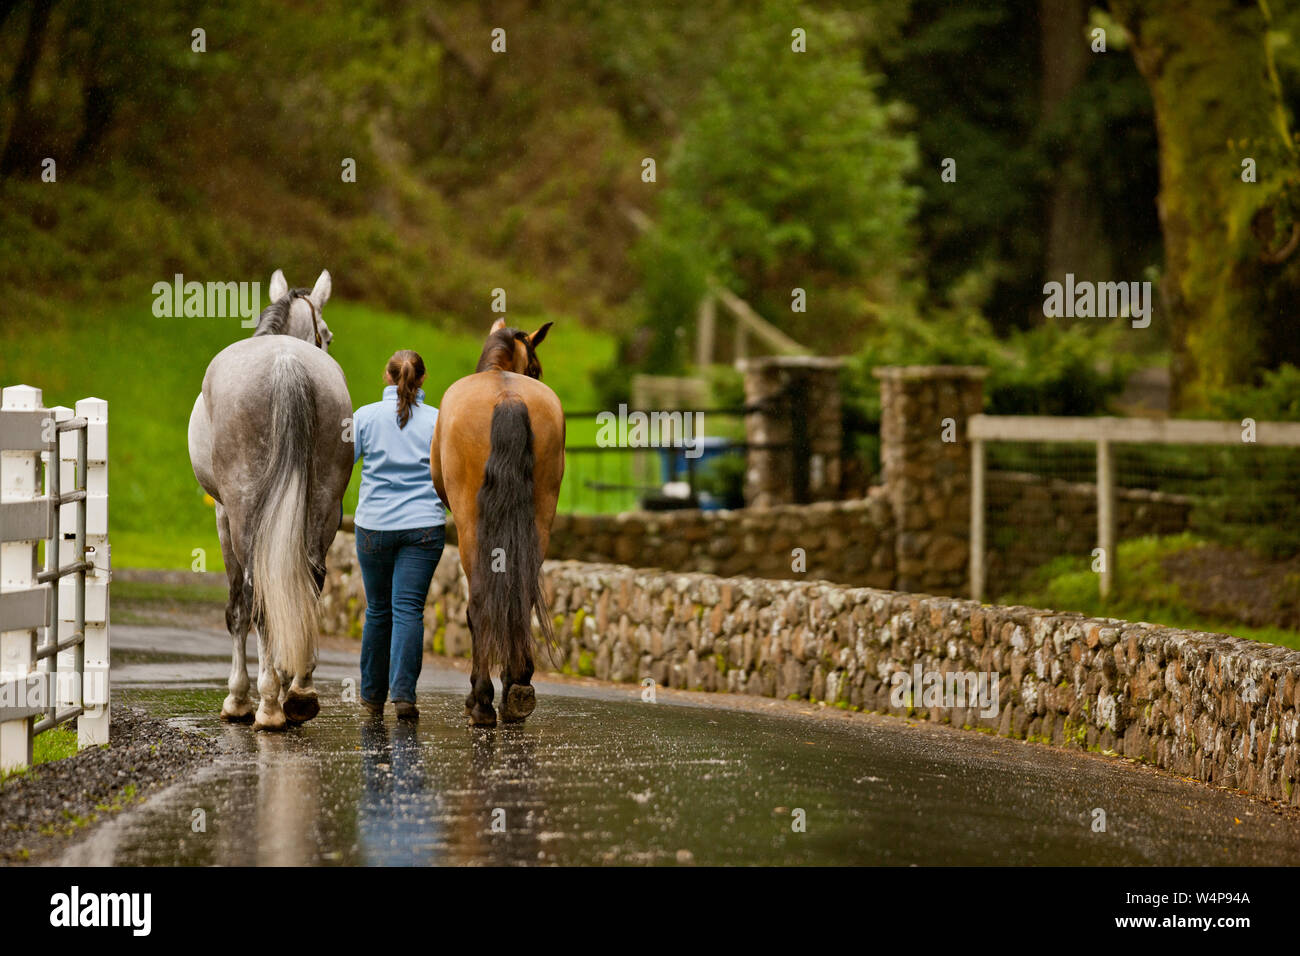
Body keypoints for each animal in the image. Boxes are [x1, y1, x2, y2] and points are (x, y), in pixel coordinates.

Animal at [187, 269, 353, 731]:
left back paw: (267, 705)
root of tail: (285, 363)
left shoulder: (223, 515)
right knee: (310, 582)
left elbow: (238, 608)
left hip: (244, 509)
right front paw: (284, 675)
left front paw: (239, 697)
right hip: (325, 505)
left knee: (255, 595)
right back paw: (300, 693)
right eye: (329, 336)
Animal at [430, 318, 564, 727]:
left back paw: (482, 700)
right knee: (520, 594)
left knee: (479, 604)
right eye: (535, 368)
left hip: (470, 526)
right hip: (540, 517)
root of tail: (506, 397)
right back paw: (518, 689)